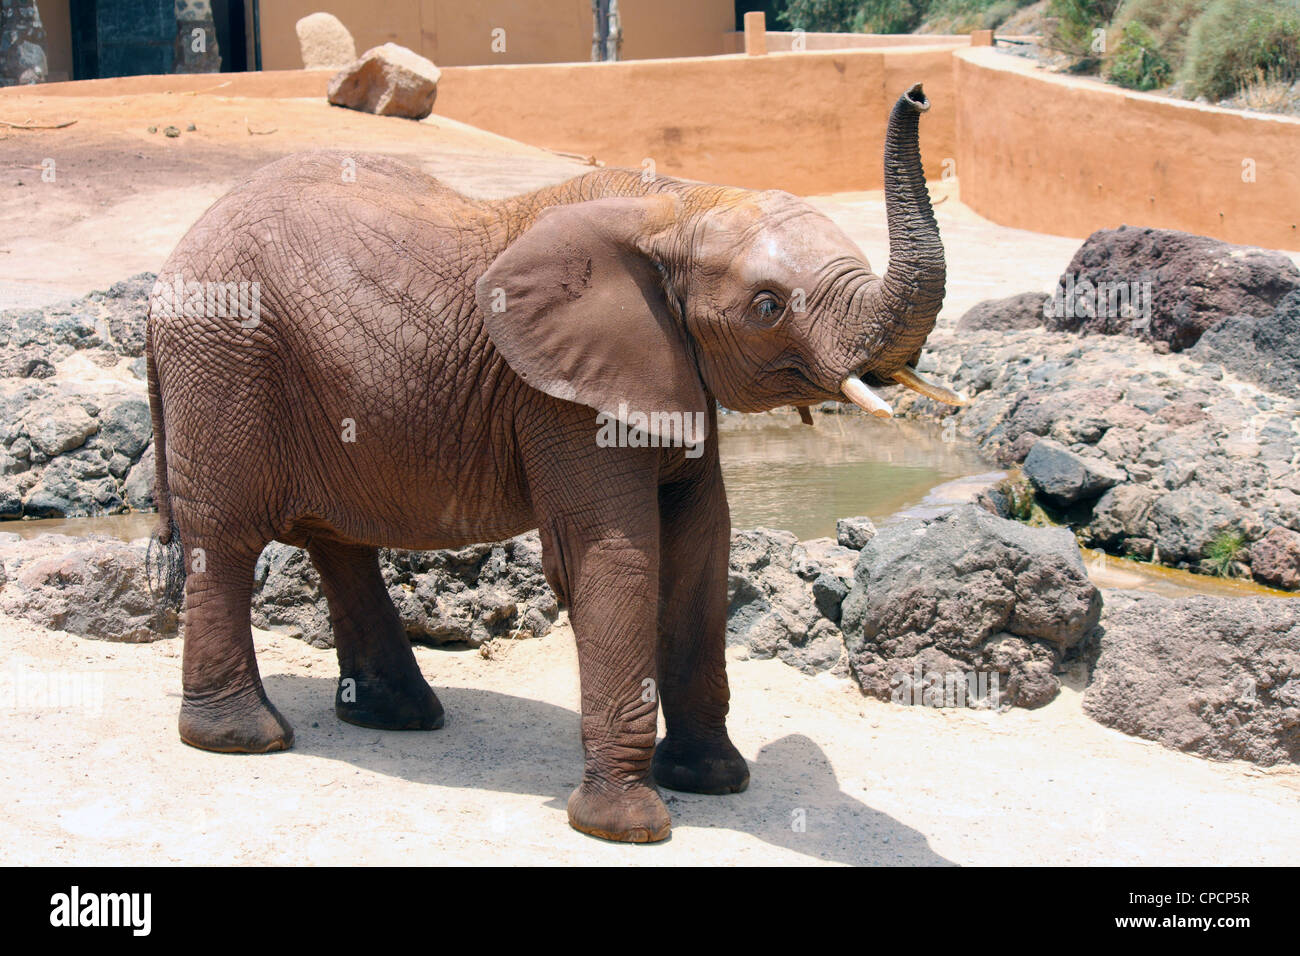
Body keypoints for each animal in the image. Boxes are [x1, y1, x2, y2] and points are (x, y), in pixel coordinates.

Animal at [145, 83, 958, 843]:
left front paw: (715, 783)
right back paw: (244, 739)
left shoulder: (669, 375)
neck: (677, 204)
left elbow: (704, 542)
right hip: (222, 361)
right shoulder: (557, 395)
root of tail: (166, 271)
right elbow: (616, 554)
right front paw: (628, 826)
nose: (919, 95)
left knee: (337, 542)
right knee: (227, 537)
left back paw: (398, 717)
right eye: (767, 307)